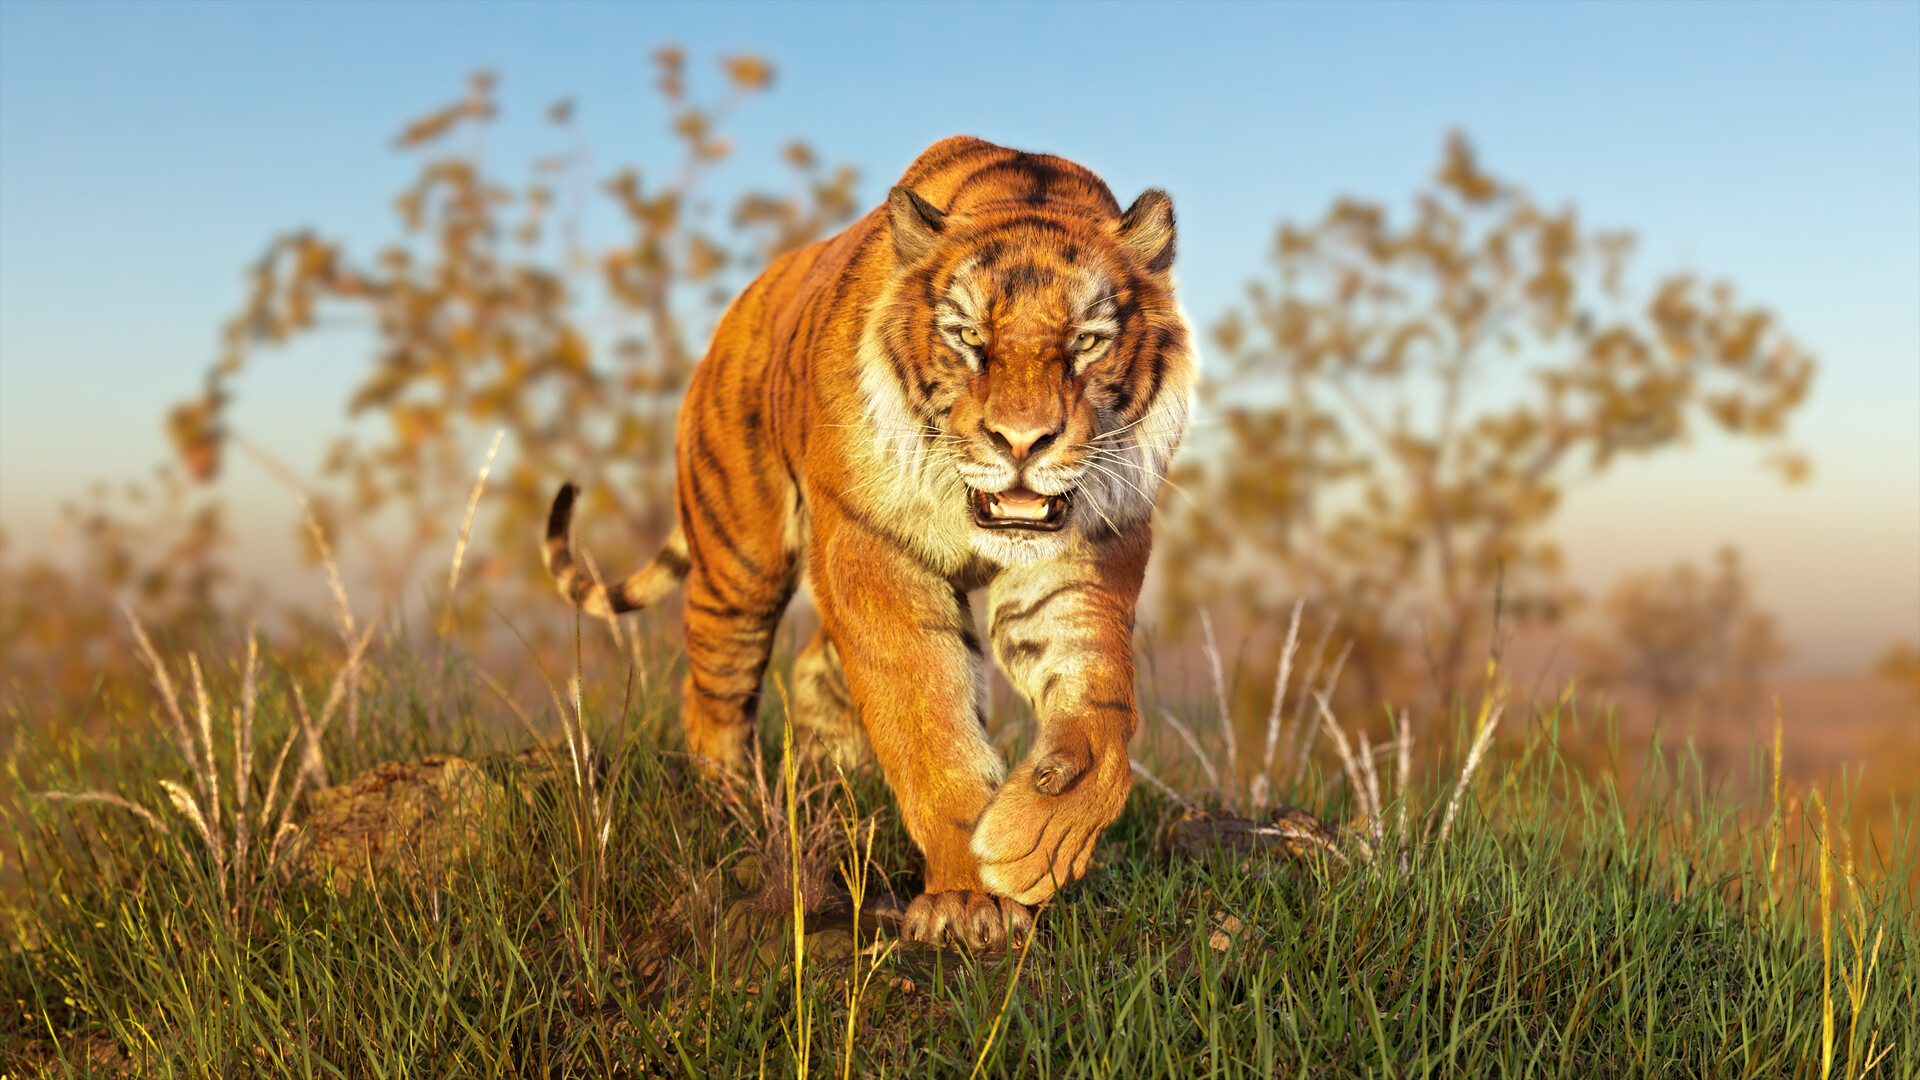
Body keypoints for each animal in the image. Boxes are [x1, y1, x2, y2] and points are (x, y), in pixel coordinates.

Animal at [543, 135, 1195, 949]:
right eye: (968, 339)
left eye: (1086, 343)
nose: (1021, 441)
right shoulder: (871, 548)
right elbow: (926, 718)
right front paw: (967, 897)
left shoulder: (1087, 549)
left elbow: (1102, 708)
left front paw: (1039, 840)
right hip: (740, 563)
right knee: (714, 691)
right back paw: (737, 811)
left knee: (817, 667)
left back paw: (834, 789)